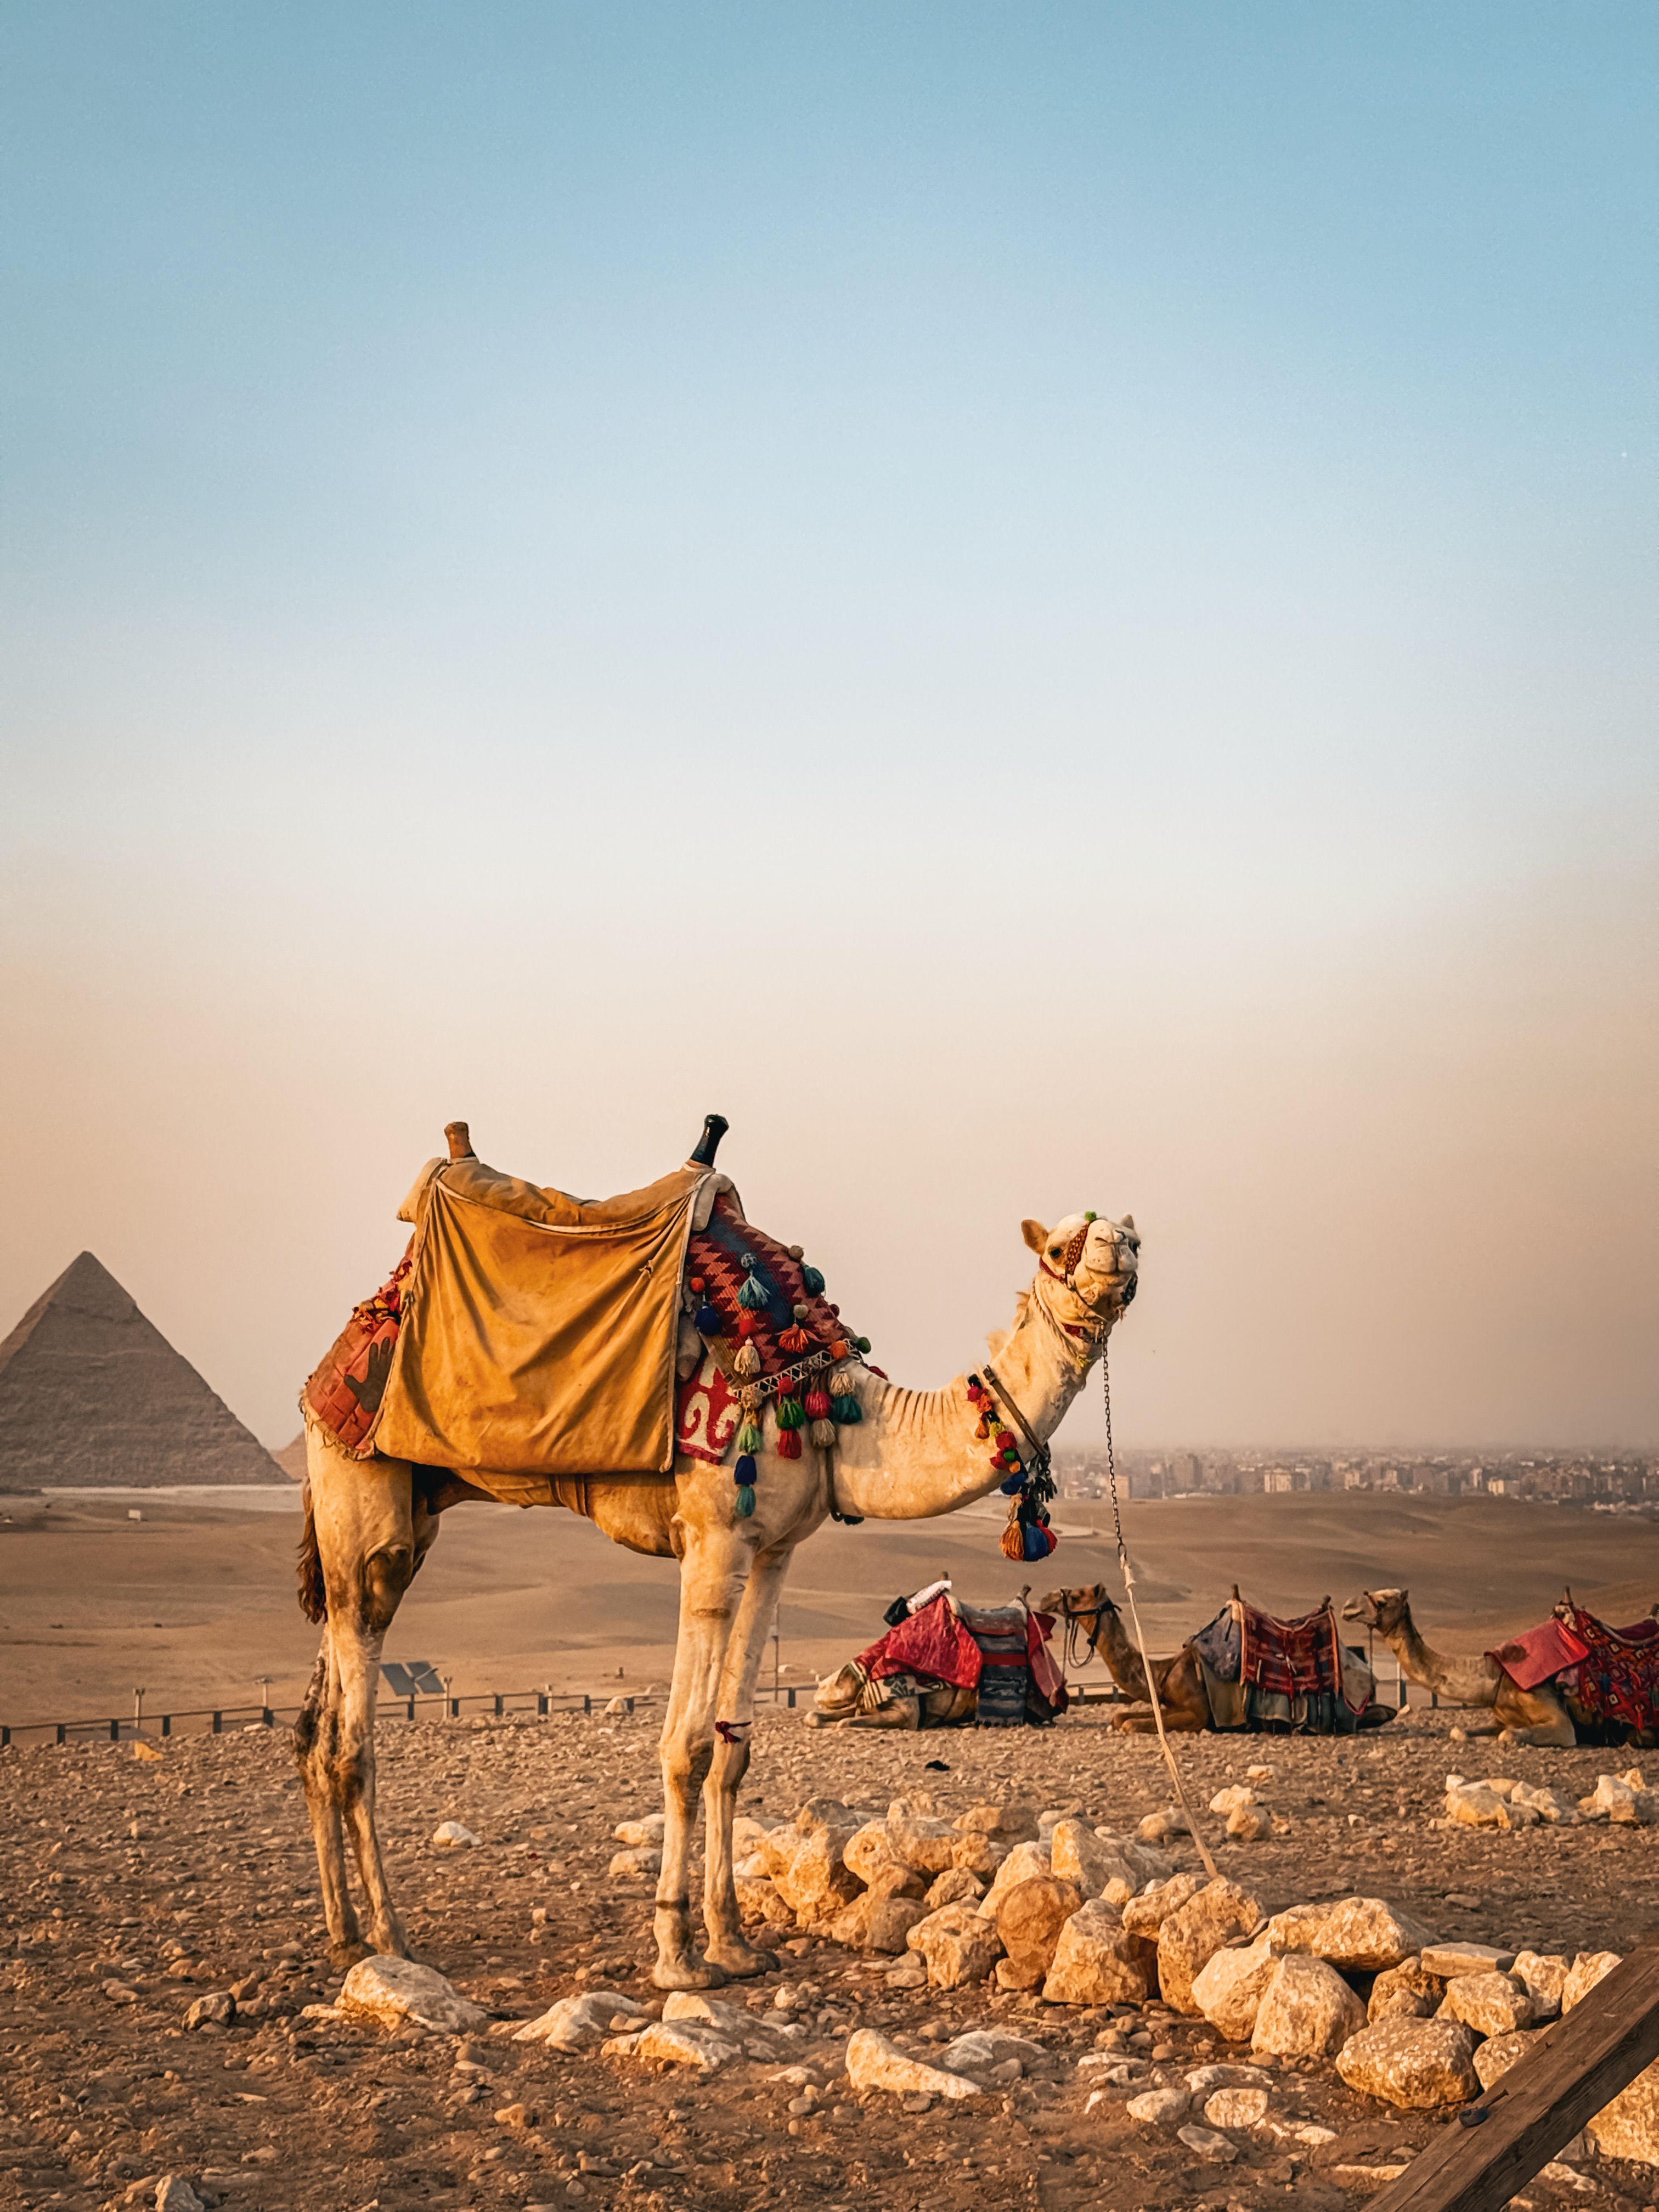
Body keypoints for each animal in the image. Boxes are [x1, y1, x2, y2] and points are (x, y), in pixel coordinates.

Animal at [296, 1125, 1139, 1988]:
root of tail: (353, 1337)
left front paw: (733, 1943)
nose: (1120, 1248)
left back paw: (344, 1935)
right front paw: (677, 1956)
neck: (836, 1411)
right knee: (352, 1738)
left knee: (317, 1724)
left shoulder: (773, 1551)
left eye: (1129, 1236)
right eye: (1063, 1247)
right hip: (363, 1487)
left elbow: (735, 1750)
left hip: (401, 1512)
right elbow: (688, 1748)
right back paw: (391, 1938)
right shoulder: (712, 1536)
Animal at [1037, 1582, 1211, 1731]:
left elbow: (1129, 1724)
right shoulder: (1173, 1707)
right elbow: (1120, 1717)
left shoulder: (1200, 1714)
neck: (1161, 1674)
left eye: (1076, 1596)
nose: (1046, 1599)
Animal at [1342, 1588, 1577, 1747]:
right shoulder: (1501, 1720)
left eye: (1382, 1601)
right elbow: (1459, 1732)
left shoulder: (1562, 1724)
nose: (1348, 1606)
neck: (1500, 1677)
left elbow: (1508, 1735)